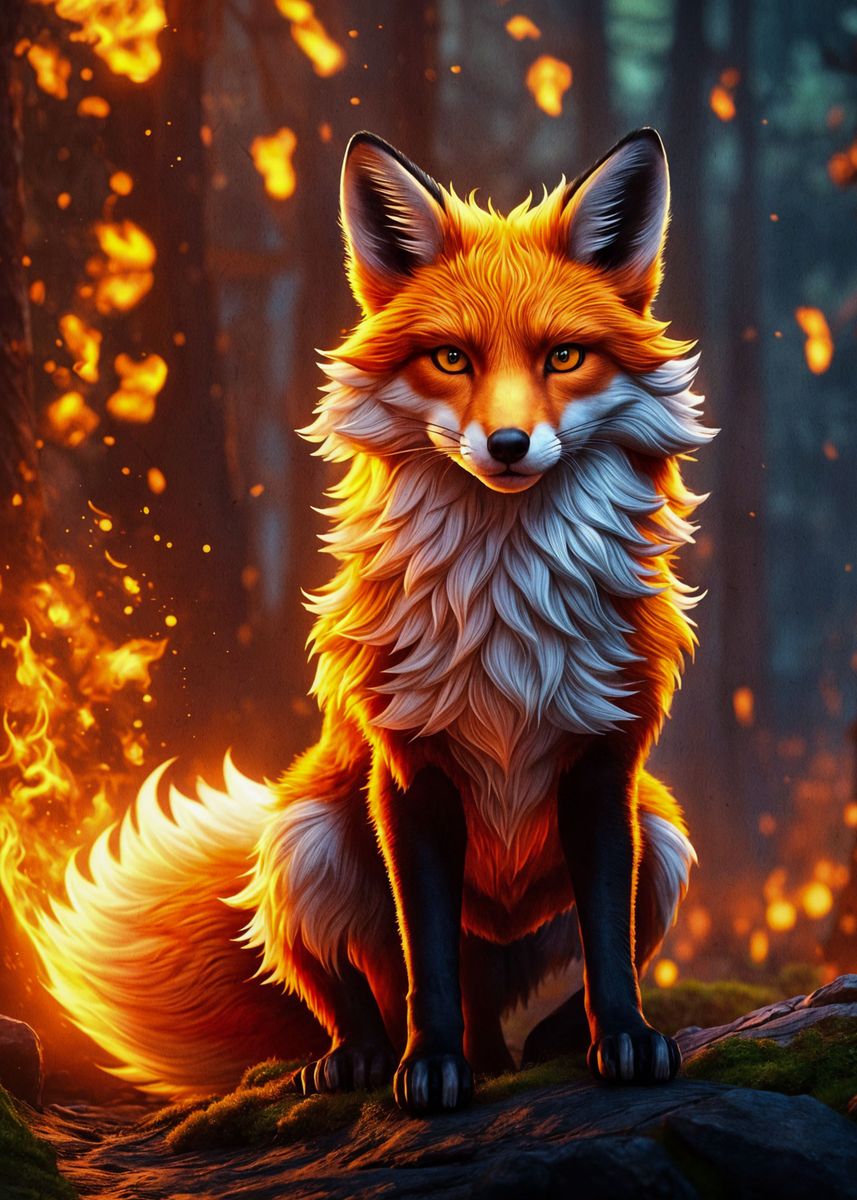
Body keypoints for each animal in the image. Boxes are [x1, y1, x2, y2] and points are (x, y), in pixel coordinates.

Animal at [39, 128, 714, 1115]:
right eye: (450, 359)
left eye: (562, 357)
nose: (507, 446)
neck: (505, 615)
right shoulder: (411, 775)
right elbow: (421, 960)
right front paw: (428, 1070)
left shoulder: (604, 770)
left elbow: (607, 944)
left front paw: (623, 1040)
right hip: (302, 839)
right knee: (354, 993)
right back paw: (361, 1058)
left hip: (661, 836)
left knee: (558, 979)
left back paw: (538, 1046)